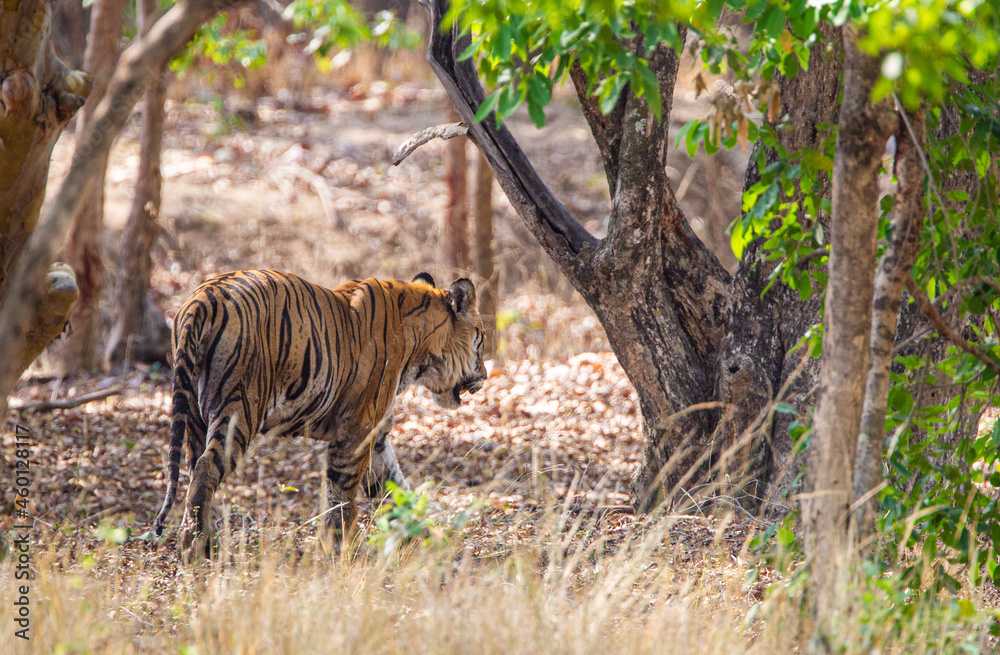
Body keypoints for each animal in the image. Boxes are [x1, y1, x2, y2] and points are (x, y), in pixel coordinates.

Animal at [152, 270, 486, 561]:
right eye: (480, 340)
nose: (484, 376)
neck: (419, 351)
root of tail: (201, 299)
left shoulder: (376, 434)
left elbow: (394, 488)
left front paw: (427, 539)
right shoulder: (358, 430)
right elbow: (342, 495)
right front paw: (345, 549)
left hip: (196, 417)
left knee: (196, 475)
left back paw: (208, 546)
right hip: (241, 408)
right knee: (206, 469)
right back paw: (195, 550)